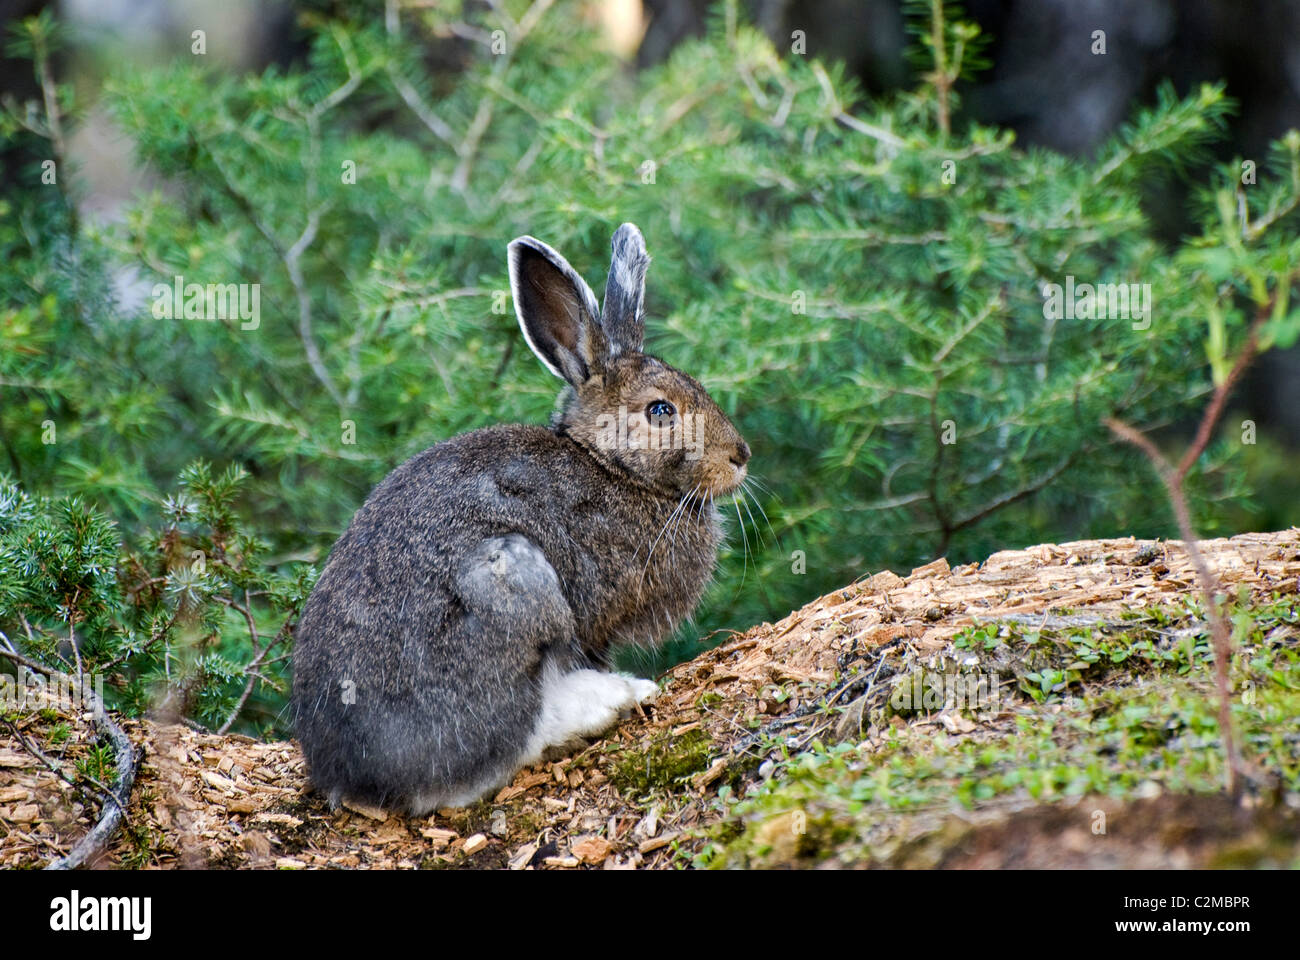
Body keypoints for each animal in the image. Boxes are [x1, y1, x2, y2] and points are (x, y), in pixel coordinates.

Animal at [291, 223, 751, 815]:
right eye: (660, 411)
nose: (741, 456)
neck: (608, 465)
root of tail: (356, 778)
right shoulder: (593, 619)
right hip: (513, 582)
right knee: (498, 751)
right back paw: (617, 698)